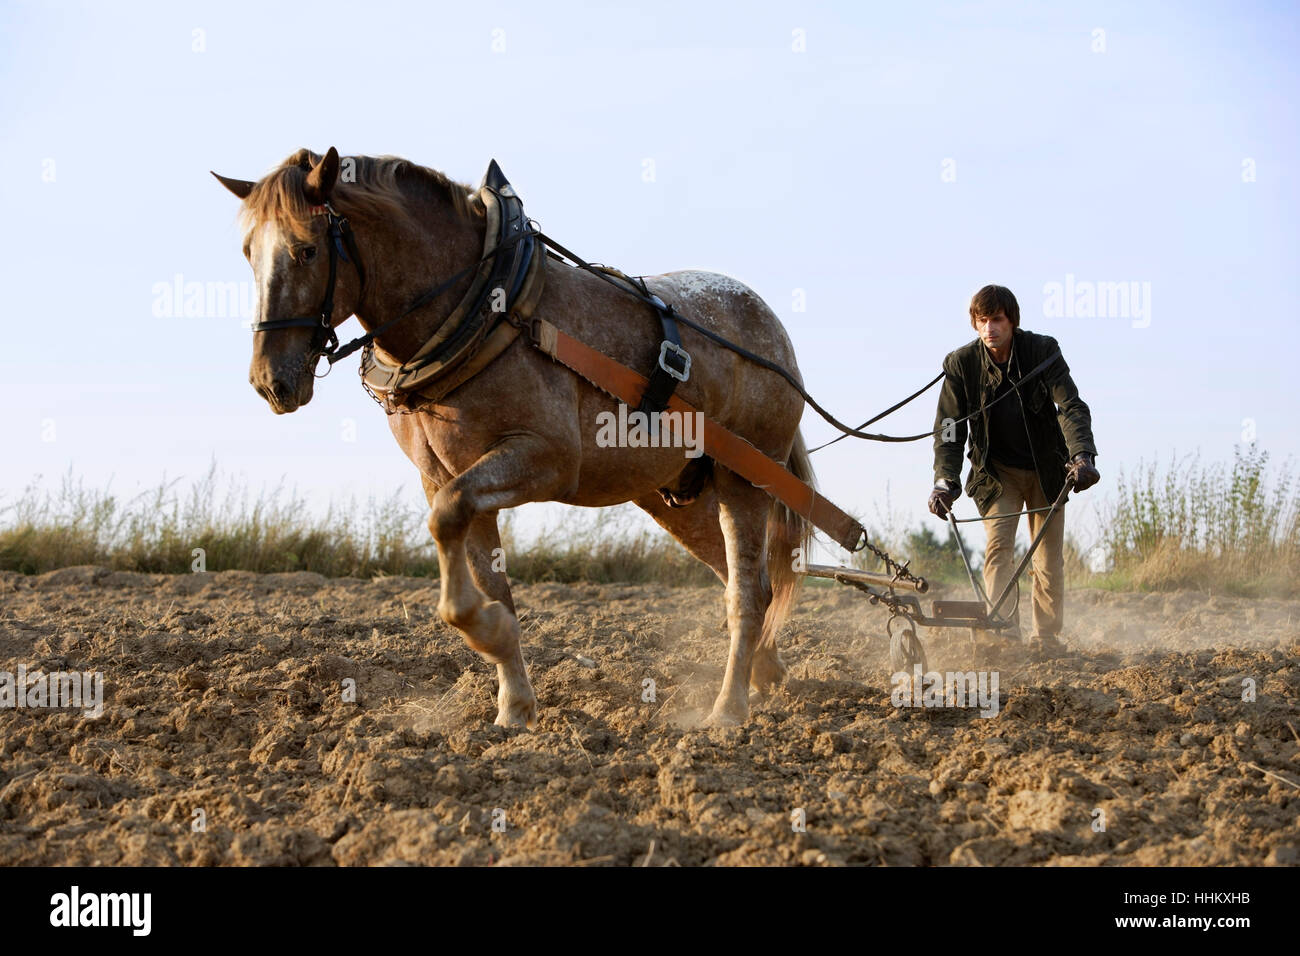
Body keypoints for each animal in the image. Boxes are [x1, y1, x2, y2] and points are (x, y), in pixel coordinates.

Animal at [212, 147, 814, 729]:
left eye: (307, 251)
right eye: (247, 252)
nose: (271, 381)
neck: (485, 311)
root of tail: (769, 327)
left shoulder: (544, 459)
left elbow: (448, 523)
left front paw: (486, 630)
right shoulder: (444, 475)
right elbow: (486, 573)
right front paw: (514, 705)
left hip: (745, 479)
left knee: (747, 592)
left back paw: (728, 710)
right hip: (670, 493)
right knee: (743, 578)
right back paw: (767, 672)